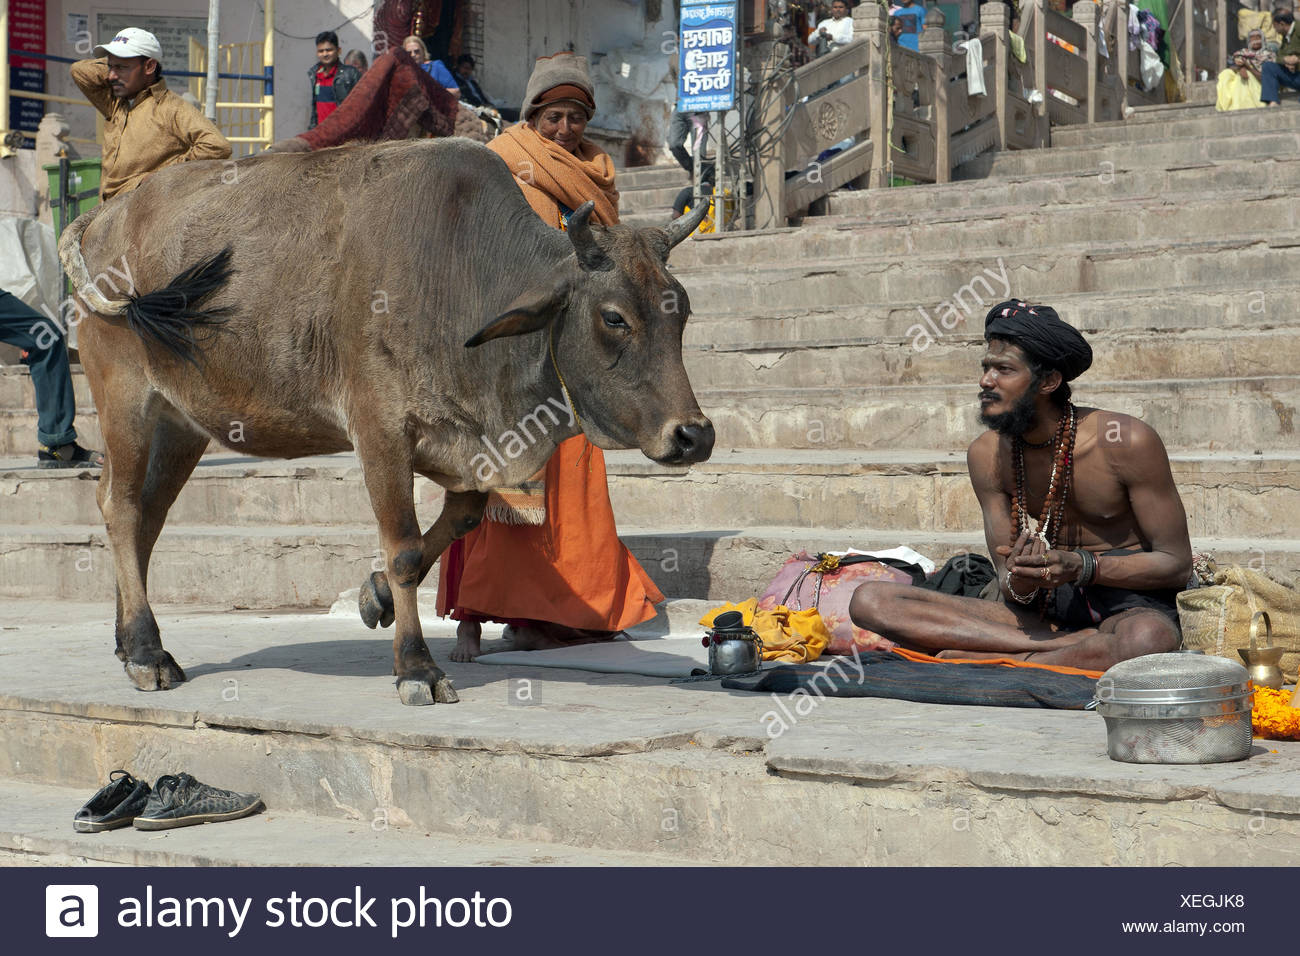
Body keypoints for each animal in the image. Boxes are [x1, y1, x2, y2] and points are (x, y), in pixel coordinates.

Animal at [58, 136, 714, 706]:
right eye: (614, 317)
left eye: (681, 310)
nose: (694, 435)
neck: (460, 277)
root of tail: (107, 213)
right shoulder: (379, 433)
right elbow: (403, 549)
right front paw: (417, 667)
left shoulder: (467, 457)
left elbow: (446, 533)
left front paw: (375, 599)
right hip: (125, 400)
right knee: (121, 508)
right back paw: (148, 653)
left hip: (180, 426)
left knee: (146, 517)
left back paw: (128, 642)